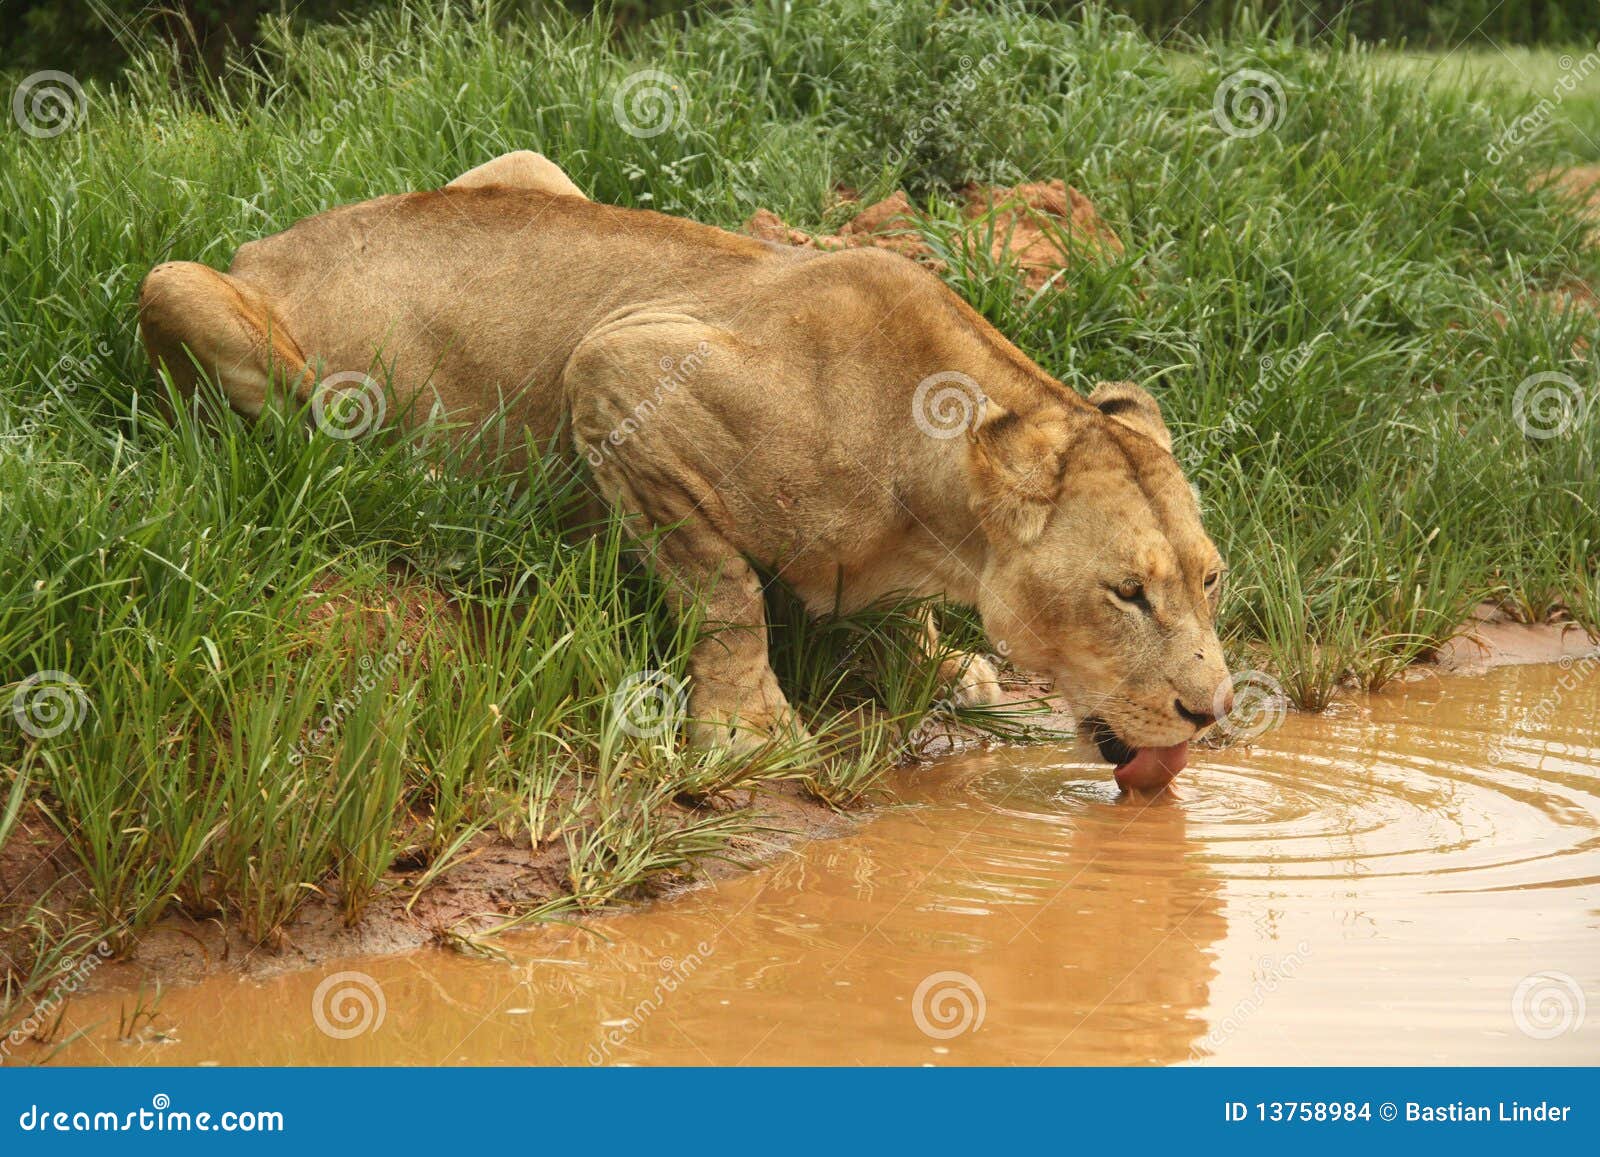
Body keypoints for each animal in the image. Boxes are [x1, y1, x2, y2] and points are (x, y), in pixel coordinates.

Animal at [138, 151, 1233, 787]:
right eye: (1126, 592)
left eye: (1210, 579)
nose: (1214, 712)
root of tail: (269, 240)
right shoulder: (617, 367)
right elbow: (725, 589)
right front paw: (749, 729)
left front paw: (941, 662)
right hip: (178, 287)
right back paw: (430, 487)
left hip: (527, 168)